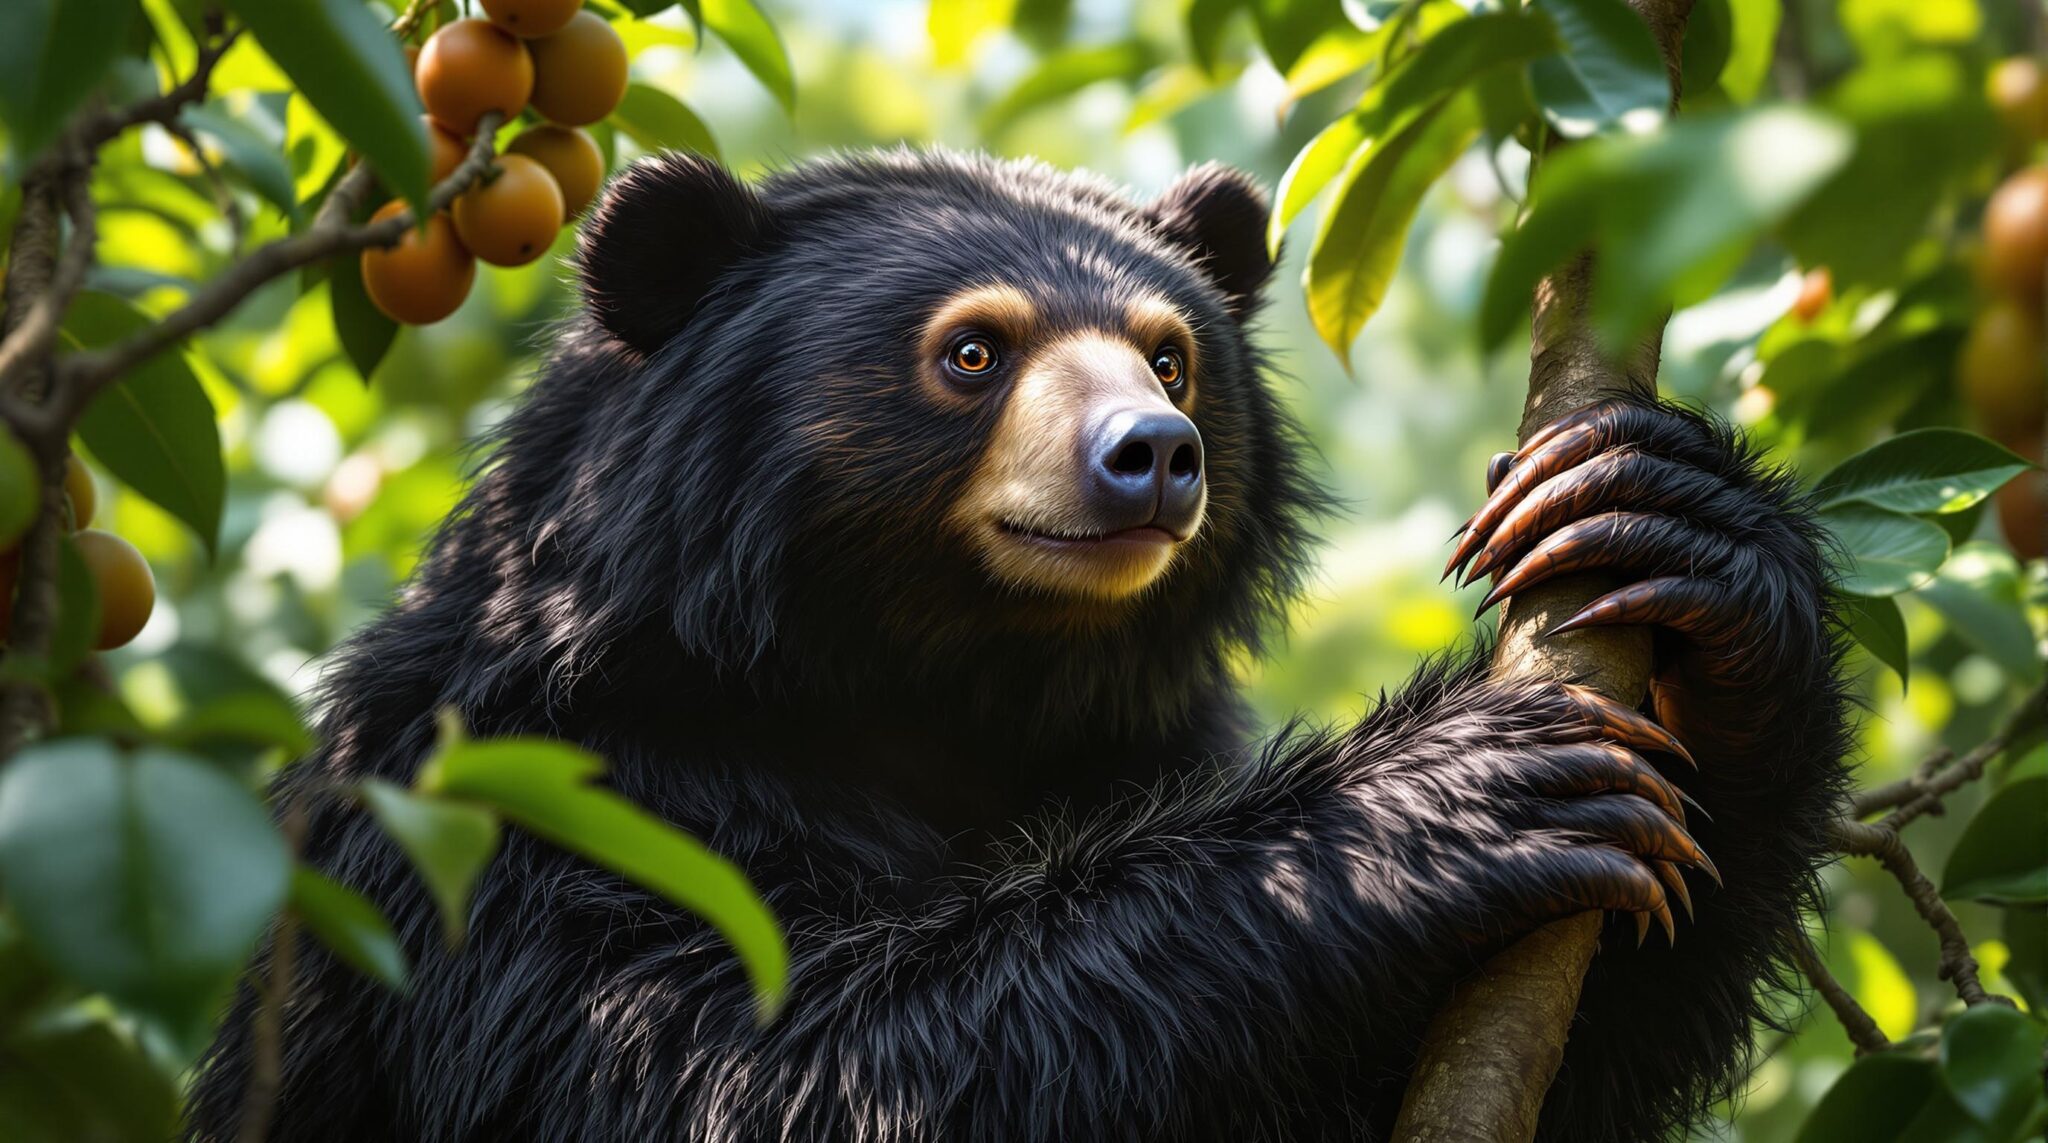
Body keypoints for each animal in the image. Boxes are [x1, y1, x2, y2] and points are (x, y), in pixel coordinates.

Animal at [185, 149, 1850, 1142]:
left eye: (1171, 352)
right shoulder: (525, 803)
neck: (932, 686)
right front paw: (1463, 788)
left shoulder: (1136, 739)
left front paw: (1674, 530)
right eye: (971, 350)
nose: (1155, 454)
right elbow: (752, 1063)